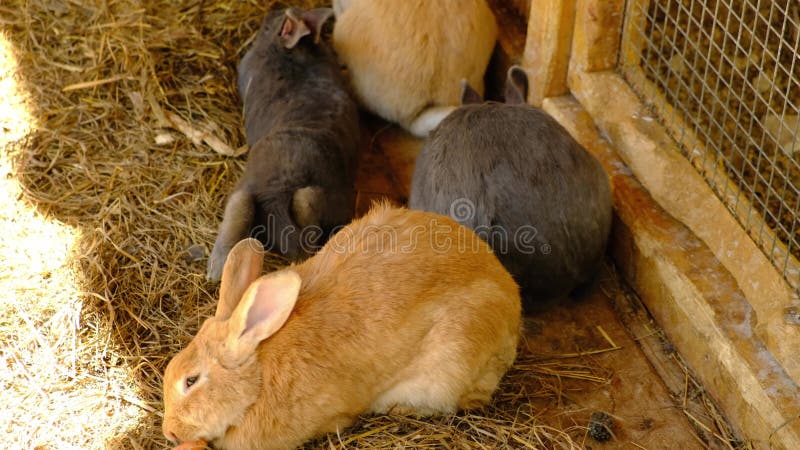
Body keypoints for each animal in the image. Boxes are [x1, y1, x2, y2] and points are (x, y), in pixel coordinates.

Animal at [207, 7, 360, 282]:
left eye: (273, 22)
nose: (273, 9)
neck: (291, 52)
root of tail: (279, 191)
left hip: (247, 184)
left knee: (238, 208)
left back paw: (214, 272)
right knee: (308, 210)